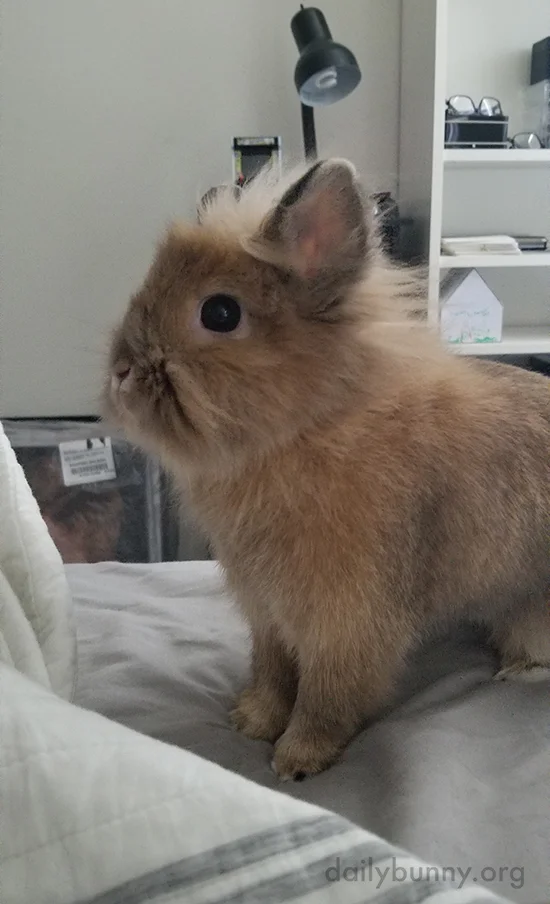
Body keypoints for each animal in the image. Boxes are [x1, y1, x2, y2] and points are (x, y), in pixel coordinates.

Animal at [104, 159, 550, 780]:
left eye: (220, 312)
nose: (121, 371)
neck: (308, 429)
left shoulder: (346, 624)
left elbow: (327, 694)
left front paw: (296, 759)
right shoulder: (267, 614)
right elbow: (271, 670)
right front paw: (252, 721)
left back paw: (518, 670)